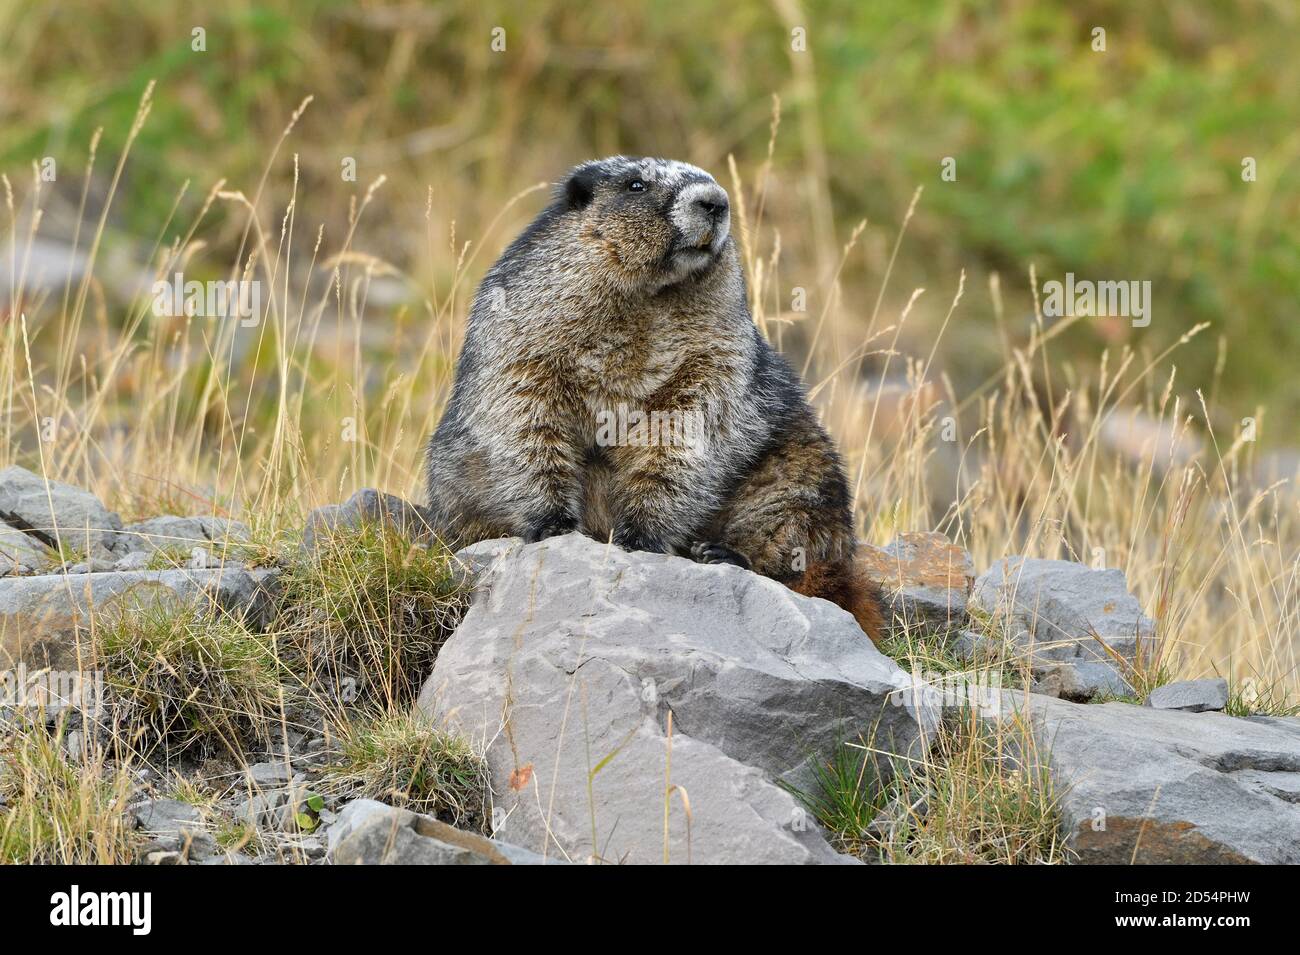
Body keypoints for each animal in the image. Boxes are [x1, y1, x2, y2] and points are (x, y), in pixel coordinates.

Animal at [425, 156, 884, 641]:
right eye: (636, 184)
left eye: (713, 180)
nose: (716, 201)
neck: (648, 296)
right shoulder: (524, 330)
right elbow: (525, 411)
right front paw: (554, 524)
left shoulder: (714, 353)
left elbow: (686, 430)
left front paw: (640, 538)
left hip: (801, 477)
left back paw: (724, 553)